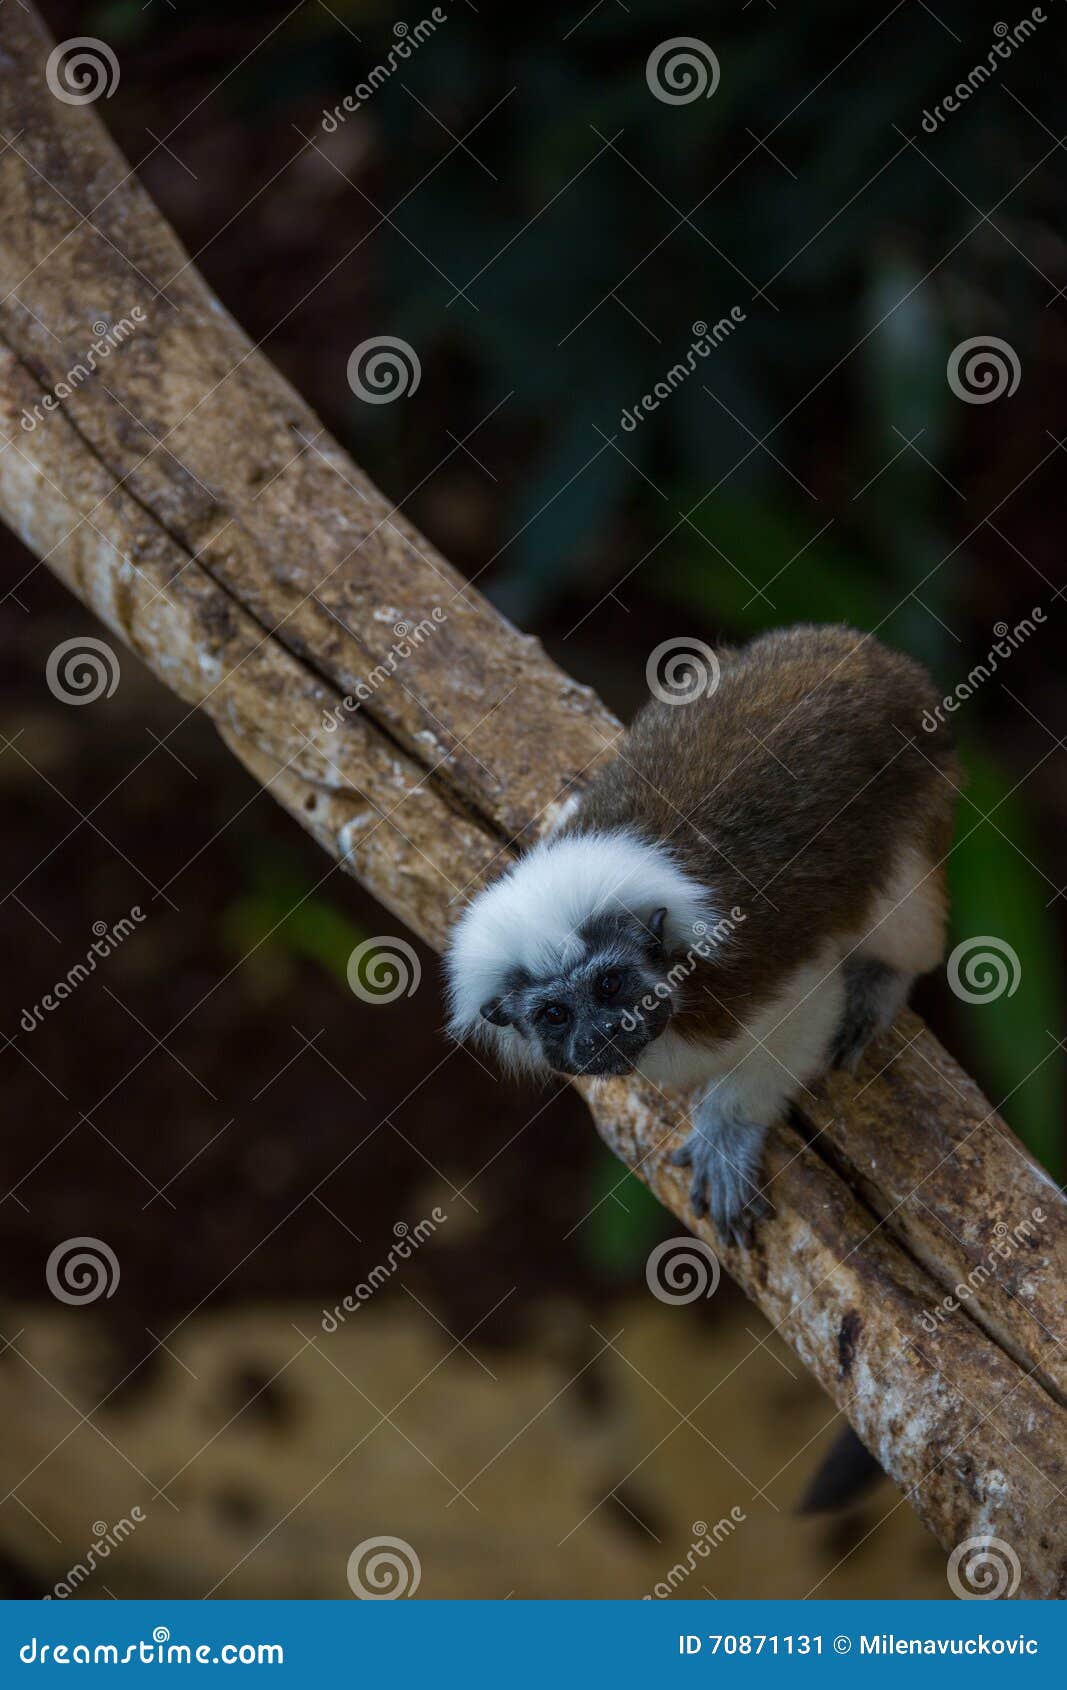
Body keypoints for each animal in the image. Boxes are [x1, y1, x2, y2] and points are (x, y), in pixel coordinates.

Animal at [445, 624, 961, 1246]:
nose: (602, 1034)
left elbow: (805, 1010)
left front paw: (726, 1131)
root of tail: (876, 658)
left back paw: (882, 977)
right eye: (554, 1015)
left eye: (610, 985)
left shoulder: (743, 972)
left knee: (900, 911)